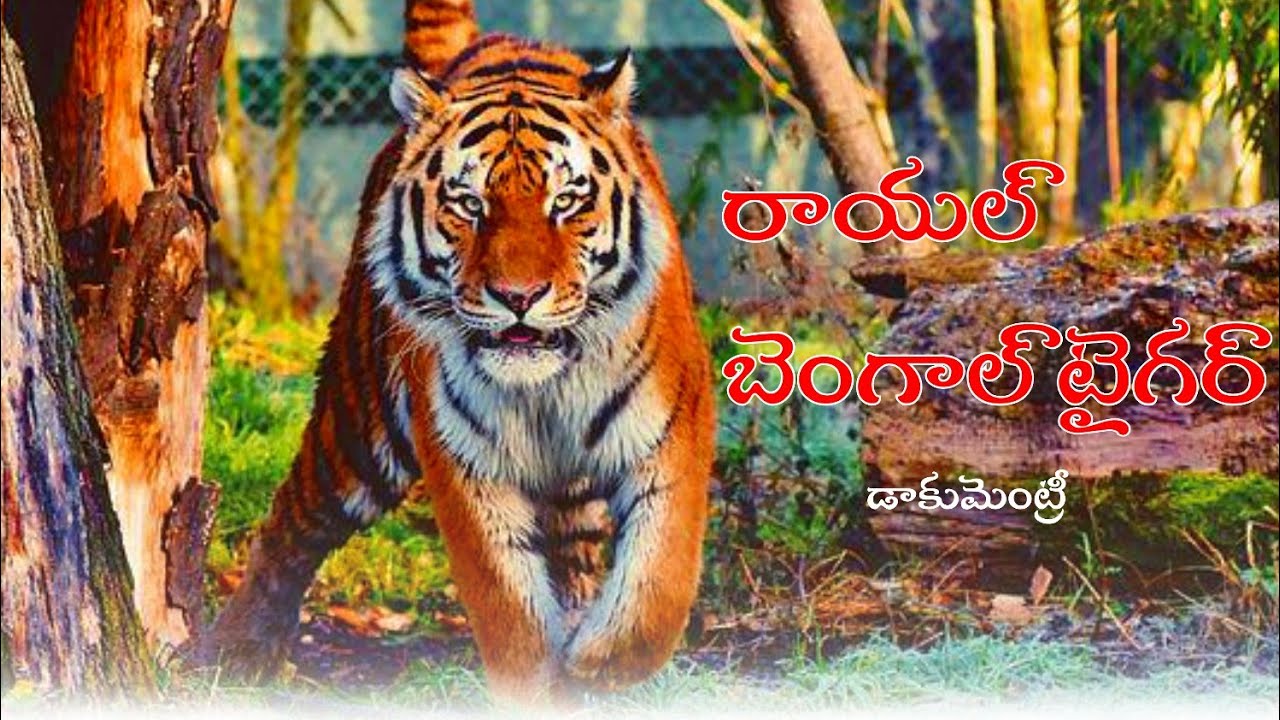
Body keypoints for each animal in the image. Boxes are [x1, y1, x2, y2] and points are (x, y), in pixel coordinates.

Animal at [201, 34, 716, 700]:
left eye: (566, 201)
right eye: (470, 204)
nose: (518, 296)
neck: (544, 387)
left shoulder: (673, 431)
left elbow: (660, 586)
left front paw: (596, 664)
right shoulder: (464, 461)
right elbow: (509, 612)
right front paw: (542, 681)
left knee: (573, 552)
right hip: (359, 422)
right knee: (294, 518)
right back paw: (233, 650)